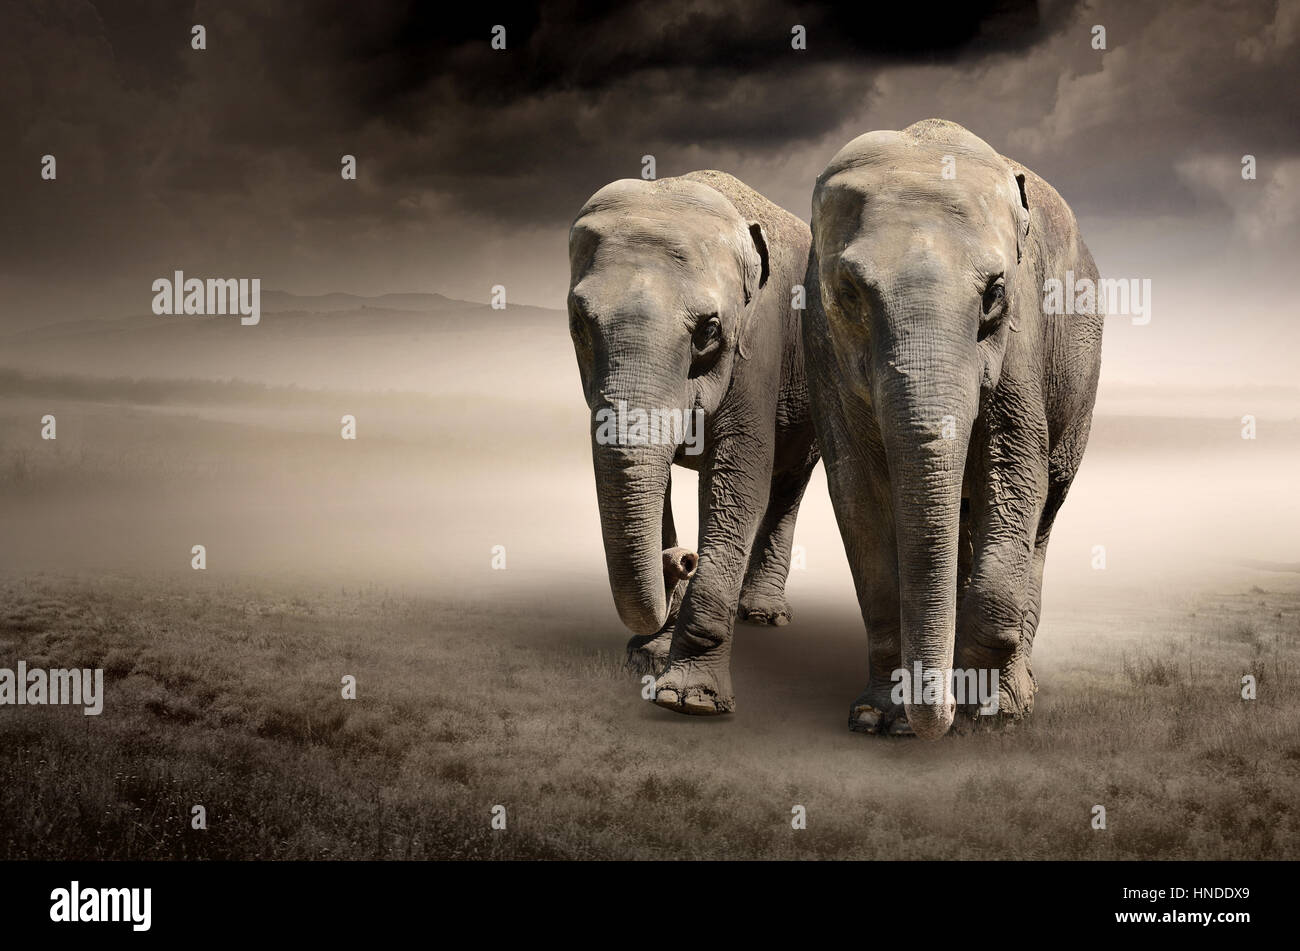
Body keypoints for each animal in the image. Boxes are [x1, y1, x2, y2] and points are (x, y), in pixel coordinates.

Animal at [568, 169, 818, 713]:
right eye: (579, 325)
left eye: (709, 329)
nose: (683, 559)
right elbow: (649, 481)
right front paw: (649, 657)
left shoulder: (760, 344)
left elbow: (738, 479)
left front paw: (688, 699)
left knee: (790, 479)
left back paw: (763, 615)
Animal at [802, 119, 1103, 739]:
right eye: (849, 293)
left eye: (994, 294)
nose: (929, 720)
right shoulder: (821, 348)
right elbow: (857, 493)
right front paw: (876, 718)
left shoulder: (1020, 342)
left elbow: (1016, 475)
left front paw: (987, 712)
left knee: (1046, 509)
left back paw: (1014, 694)